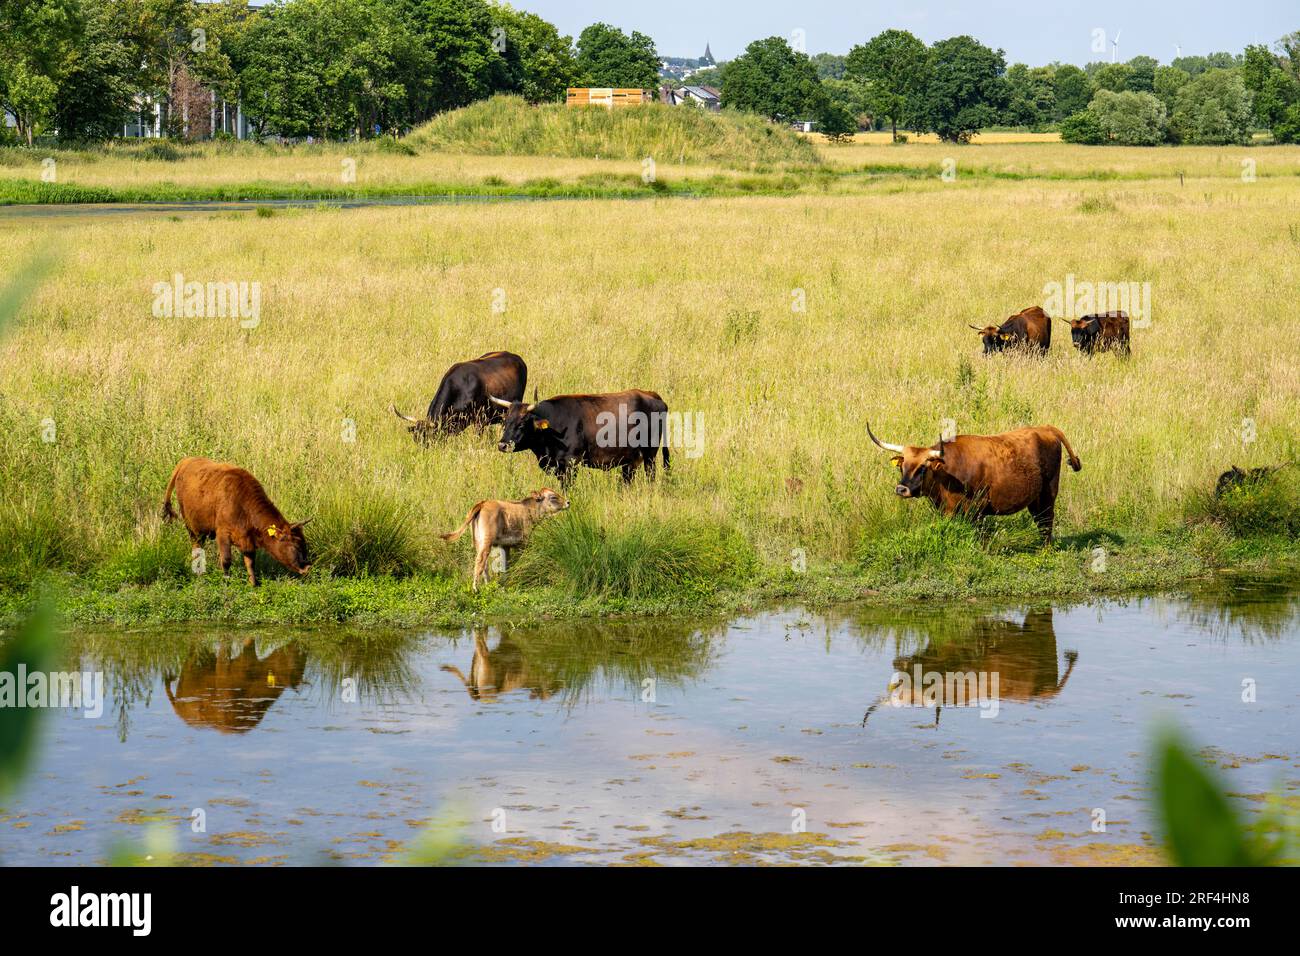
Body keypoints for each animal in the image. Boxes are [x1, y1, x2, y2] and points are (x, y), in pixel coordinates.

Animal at [162, 456, 311, 586]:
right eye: (296, 545)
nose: (308, 567)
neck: (243, 503)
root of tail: (185, 461)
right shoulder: (223, 533)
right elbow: (226, 560)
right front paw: (226, 582)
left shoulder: (247, 539)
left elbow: (250, 563)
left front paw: (253, 584)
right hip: (191, 526)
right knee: (196, 547)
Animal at [493, 389, 670, 483]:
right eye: (506, 422)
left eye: (522, 424)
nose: (502, 445)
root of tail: (650, 394)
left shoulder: (571, 463)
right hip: (631, 460)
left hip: (650, 454)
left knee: (650, 476)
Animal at [867, 421, 1081, 542]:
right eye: (902, 466)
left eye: (922, 468)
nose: (901, 489)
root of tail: (1045, 428)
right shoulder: (946, 511)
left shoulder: (976, 509)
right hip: (1035, 499)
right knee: (1040, 520)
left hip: (1048, 493)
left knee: (1047, 521)